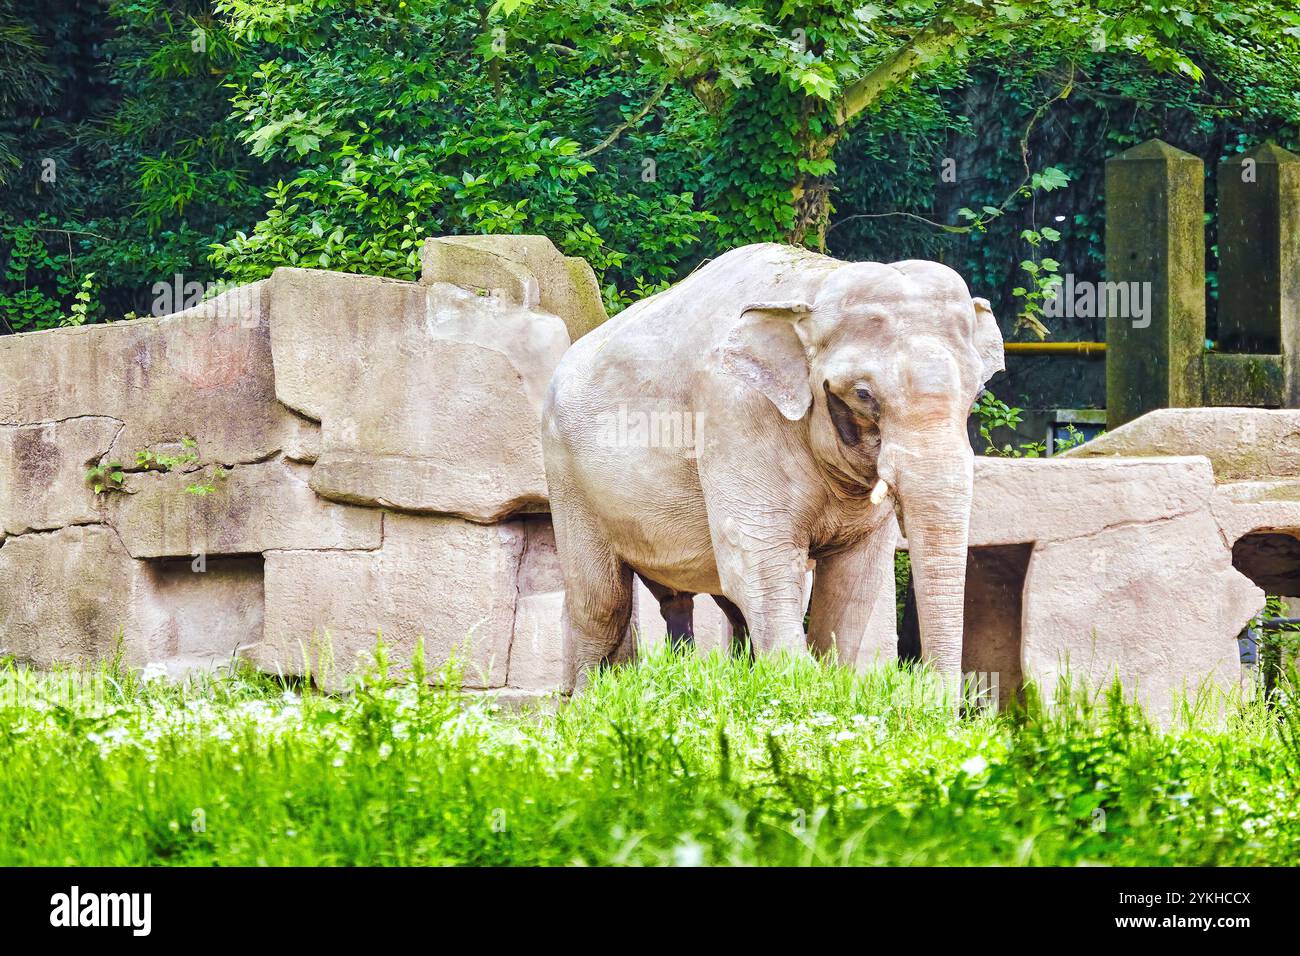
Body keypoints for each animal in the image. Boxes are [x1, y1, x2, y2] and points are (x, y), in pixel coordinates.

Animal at [542, 242, 1004, 691]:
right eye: (862, 394)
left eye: (978, 392)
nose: (927, 697)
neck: (814, 285)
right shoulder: (734, 411)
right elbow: (760, 566)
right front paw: (800, 687)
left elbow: (853, 583)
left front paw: (830, 684)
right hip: (567, 478)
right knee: (601, 604)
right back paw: (586, 699)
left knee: (691, 602)